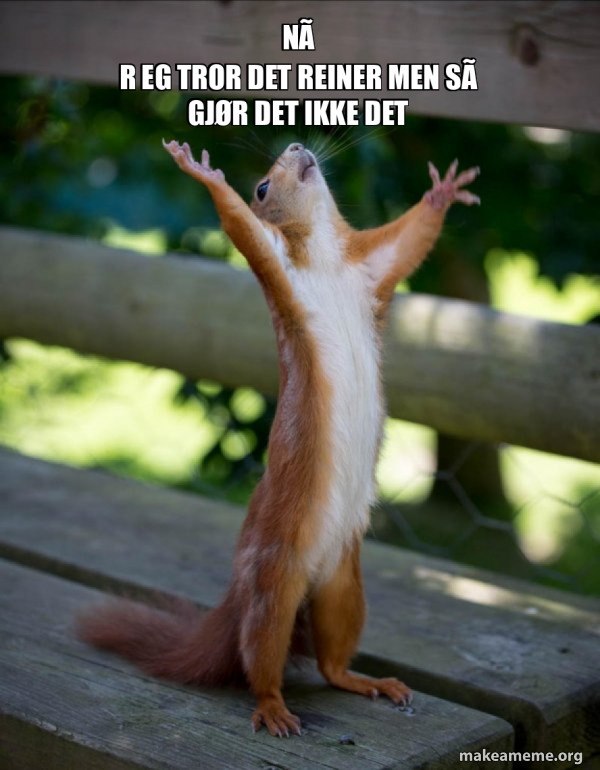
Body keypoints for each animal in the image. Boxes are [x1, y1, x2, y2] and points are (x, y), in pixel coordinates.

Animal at [77, 138, 480, 738]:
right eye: (262, 187)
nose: (295, 146)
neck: (327, 257)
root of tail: (239, 595)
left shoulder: (372, 267)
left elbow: (409, 240)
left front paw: (443, 192)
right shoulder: (277, 266)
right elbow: (240, 226)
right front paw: (204, 173)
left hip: (344, 586)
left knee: (332, 661)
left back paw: (368, 681)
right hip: (273, 584)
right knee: (260, 658)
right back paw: (273, 708)